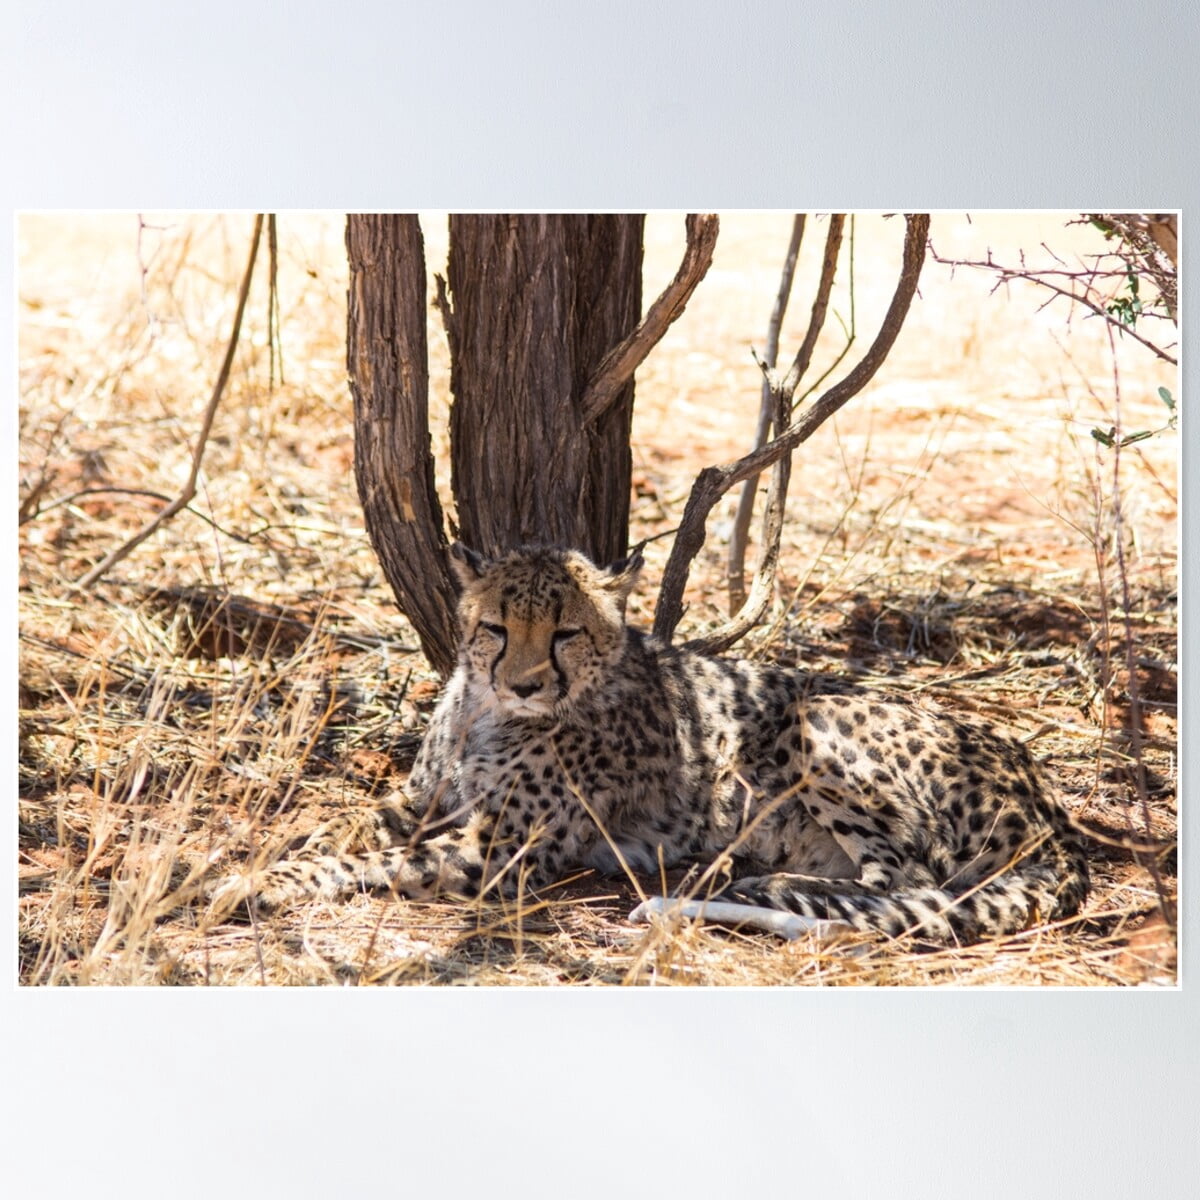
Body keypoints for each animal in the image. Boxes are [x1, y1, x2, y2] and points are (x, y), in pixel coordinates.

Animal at [209, 543, 1090, 943]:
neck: (485, 713)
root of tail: (1049, 804)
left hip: (816, 715)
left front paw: (256, 882)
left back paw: (745, 882)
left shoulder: (493, 854)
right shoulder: (423, 803)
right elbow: (345, 824)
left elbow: (352, 860)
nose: (524, 684)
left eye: (566, 632)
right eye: (496, 627)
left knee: (905, 884)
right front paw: (228, 855)